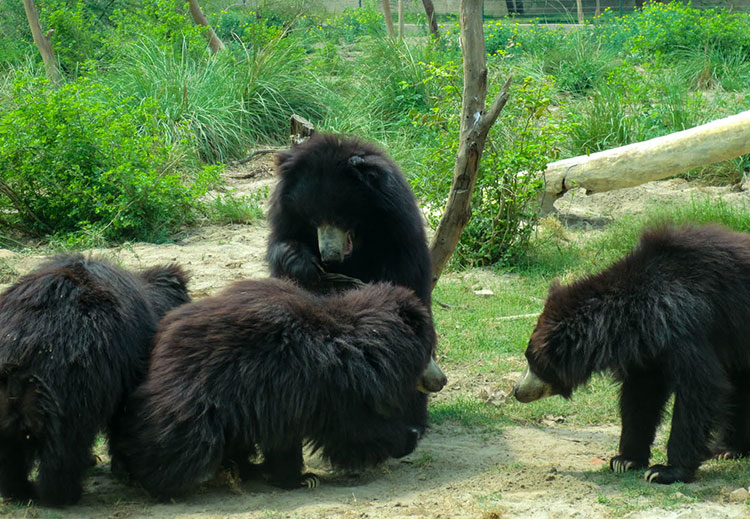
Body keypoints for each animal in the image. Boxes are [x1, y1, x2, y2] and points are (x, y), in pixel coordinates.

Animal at [0, 254, 190, 506]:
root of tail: (19, 347)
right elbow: (128, 413)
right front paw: (125, 469)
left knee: (10, 448)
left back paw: (20, 491)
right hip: (70, 387)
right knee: (65, 446)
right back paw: (62, 494)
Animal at [109, 278, 446, 499]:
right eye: (429, 352)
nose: (441, 380)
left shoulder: (293, 394)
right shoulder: (323, 387)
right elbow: (354, 429)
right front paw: (301, 479)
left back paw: (243, 469)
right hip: (198, 392)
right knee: (179, 439)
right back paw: (149, 477)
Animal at [512, 224, 750, 484]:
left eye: (534, 361)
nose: (516, 391)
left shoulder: (687, 327)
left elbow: (699, 388)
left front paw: (665, 471)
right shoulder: (647, 350)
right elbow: (641, 395)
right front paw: (625, 460)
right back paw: (728, 449)